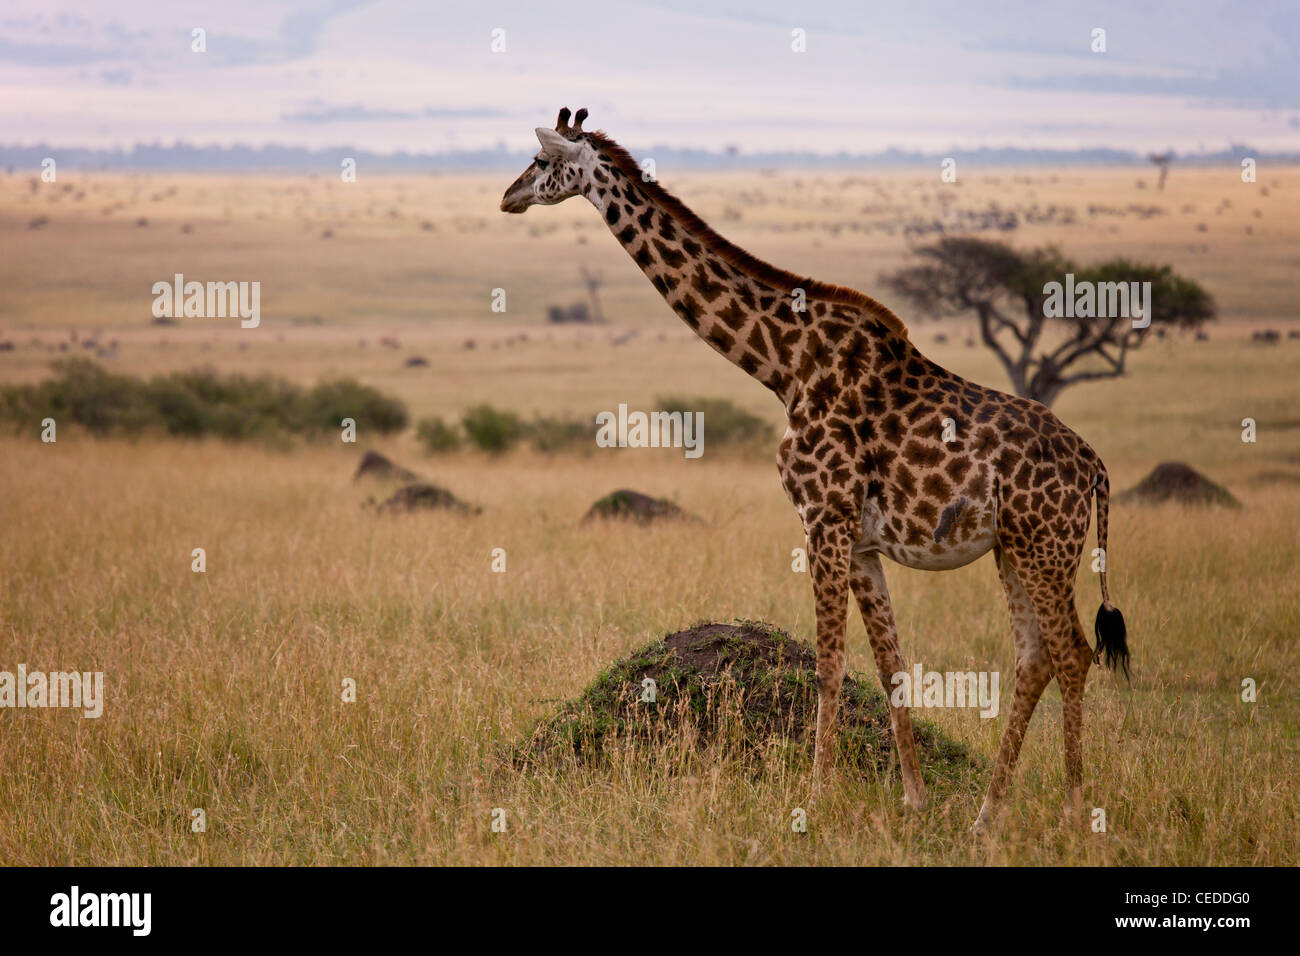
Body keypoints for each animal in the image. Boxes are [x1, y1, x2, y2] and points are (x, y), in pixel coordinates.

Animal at [501, 108, 1130, 833]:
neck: (785, 365)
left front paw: (817, 796)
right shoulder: (860, 540)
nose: (508, 196)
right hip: (1014, 547)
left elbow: (829, 663)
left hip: (1046, 546)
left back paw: (1074, 810)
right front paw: (912, 800)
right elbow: (890, 666)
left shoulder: (822, 518)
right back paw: (985, 816)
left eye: (541, 161)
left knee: (1073, 651)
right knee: (1034, 657)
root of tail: (1095, 466)